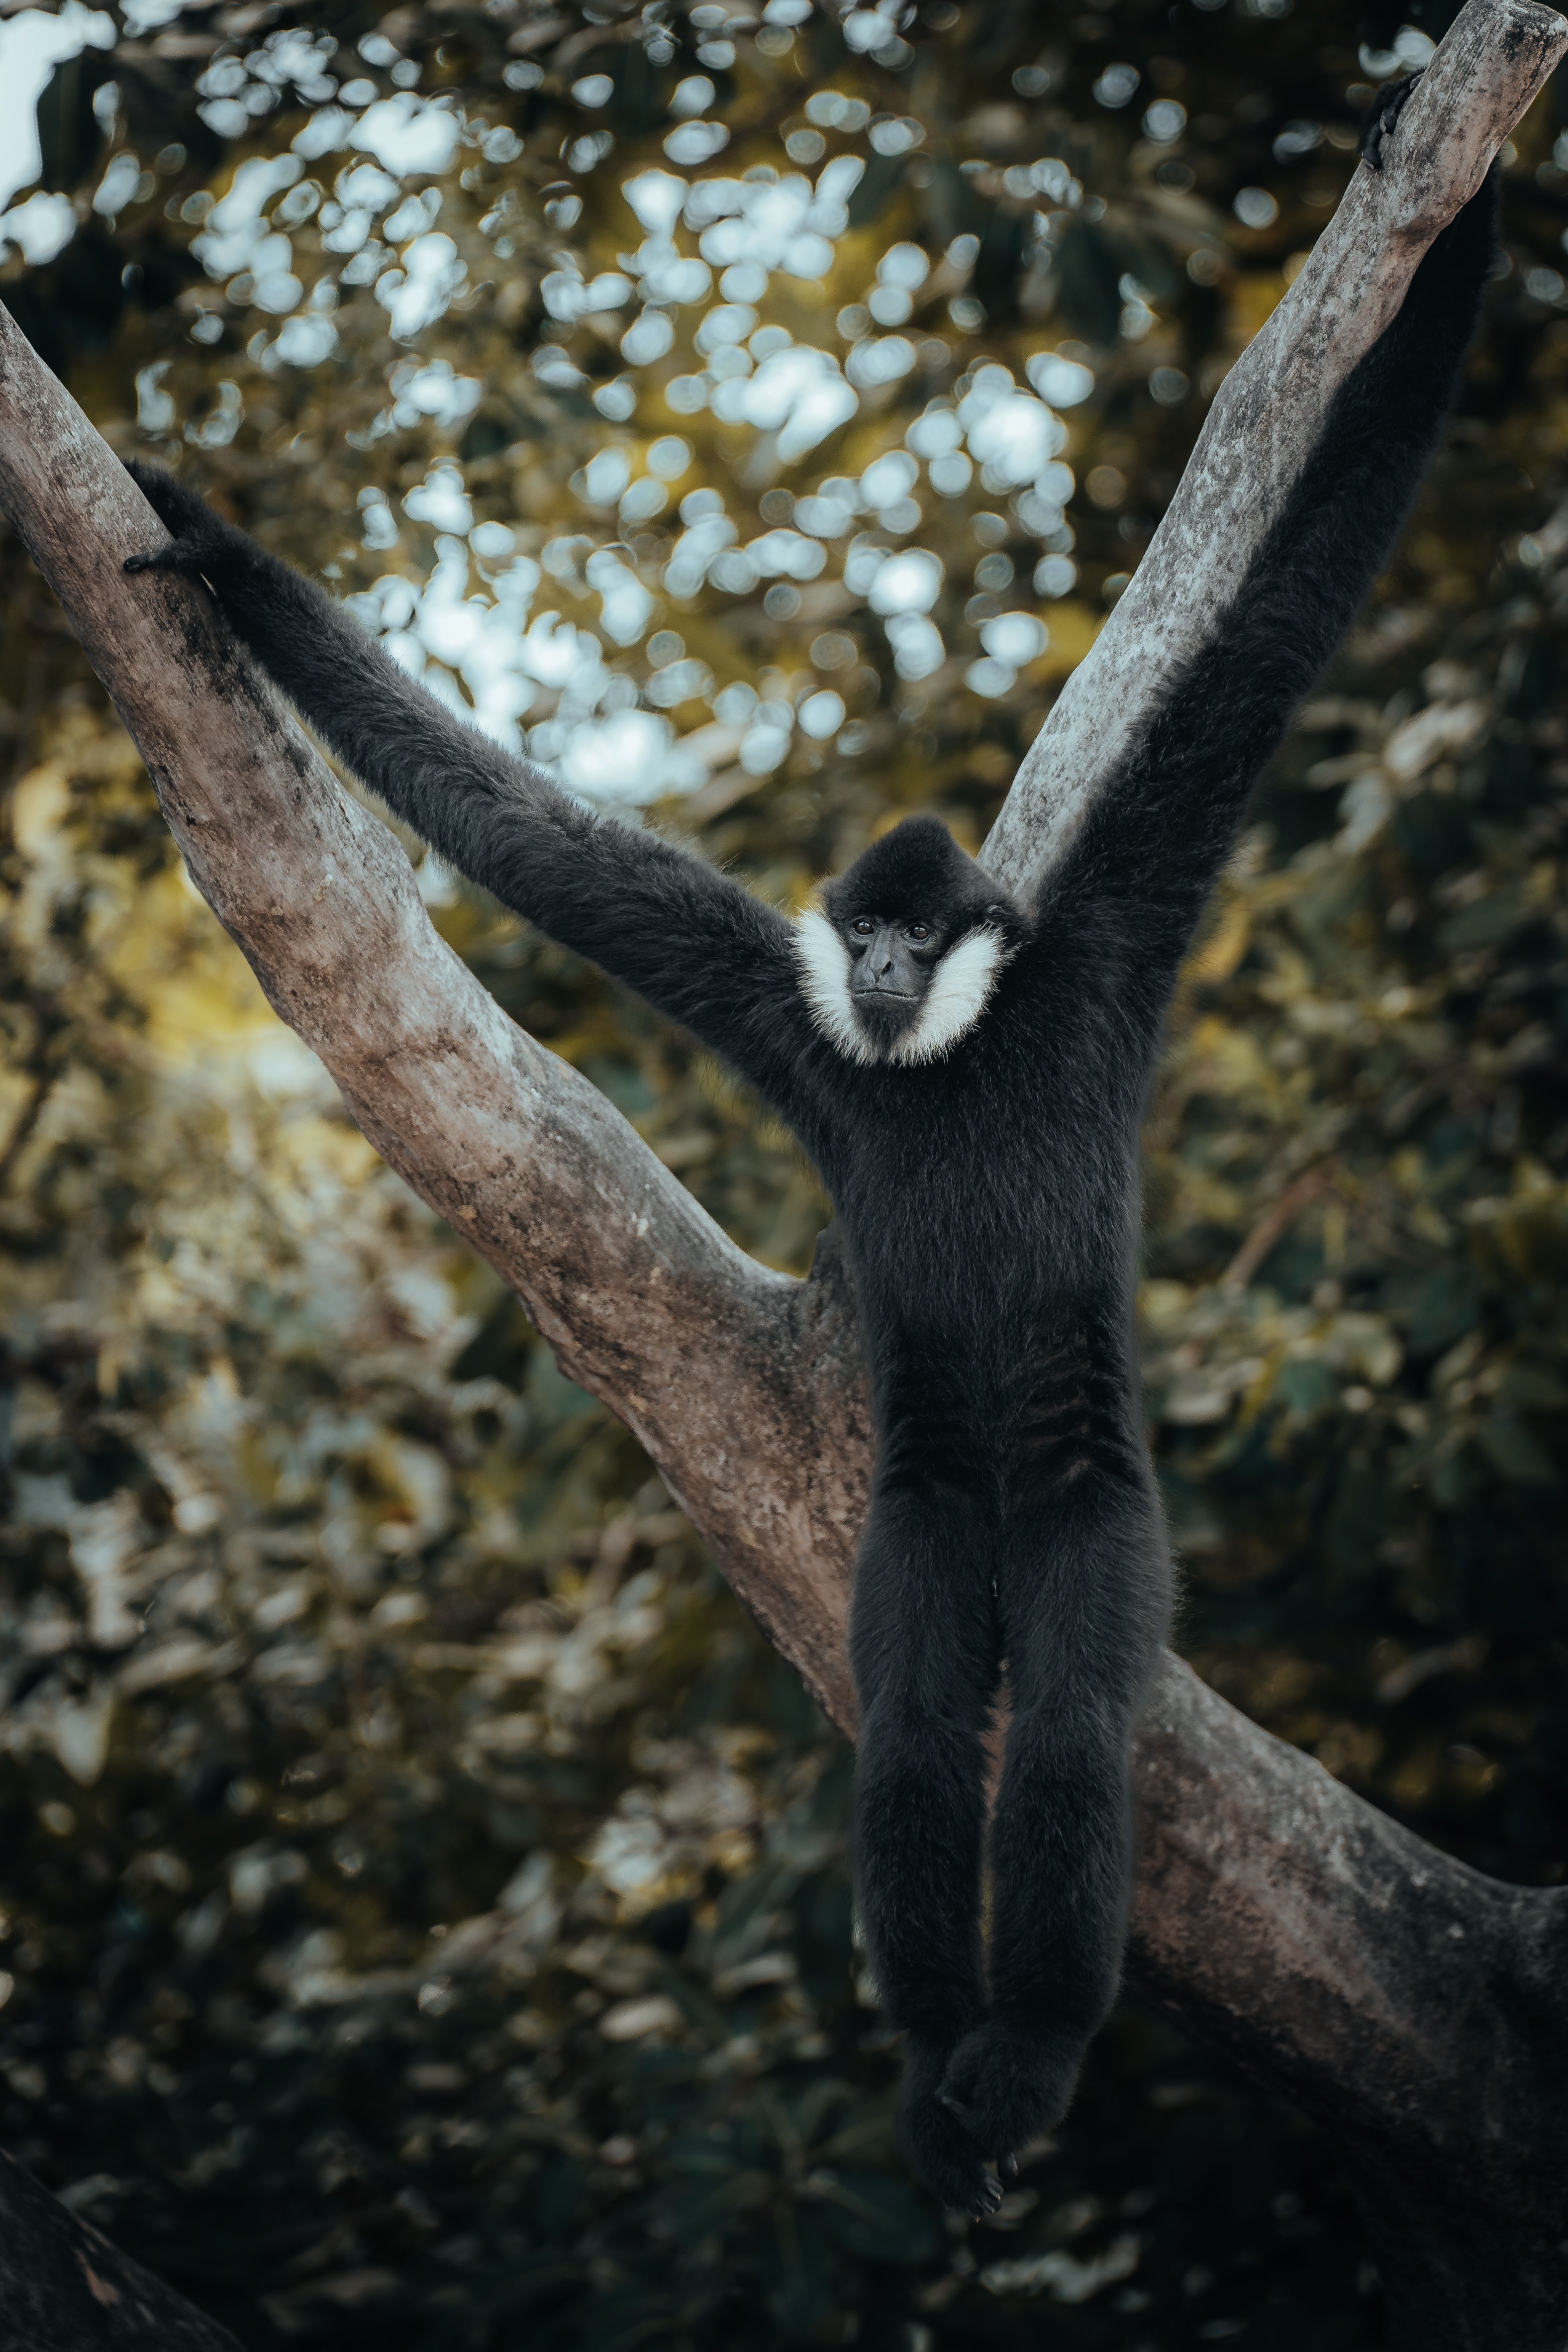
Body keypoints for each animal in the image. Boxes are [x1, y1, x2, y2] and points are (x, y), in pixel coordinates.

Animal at [122, 94, 1493, 2216]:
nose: (882, 965)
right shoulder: (790, 1019)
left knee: (1070, 1725)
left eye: (924, 932)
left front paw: (1461, 240)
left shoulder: (1106, 949)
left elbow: (1278, 623)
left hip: (1084, 1508)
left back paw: (1023, 2046)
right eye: (868, 937)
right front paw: (219, 550)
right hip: (917, 1513)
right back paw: (943, 2051)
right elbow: (530, 838)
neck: (946, 1059)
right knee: (923, 1722)